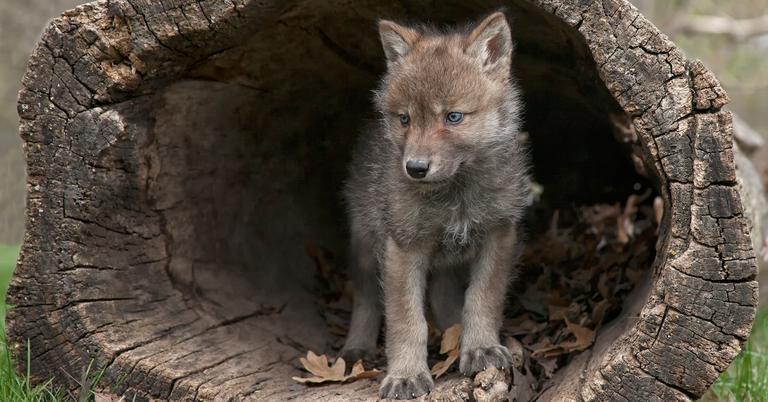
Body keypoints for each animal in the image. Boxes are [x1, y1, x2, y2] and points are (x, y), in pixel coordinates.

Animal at [340, 11, 530, 400]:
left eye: (453, 117)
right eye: (405, 119)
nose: (415, 168)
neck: (456, 195)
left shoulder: (500, 233)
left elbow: (482, 298)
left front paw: (480, 348)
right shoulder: (403, 246)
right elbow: (406, 320)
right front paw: (405, 375)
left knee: (444, 297)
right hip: (364, 244)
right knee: (366, 298)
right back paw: (357, 349)